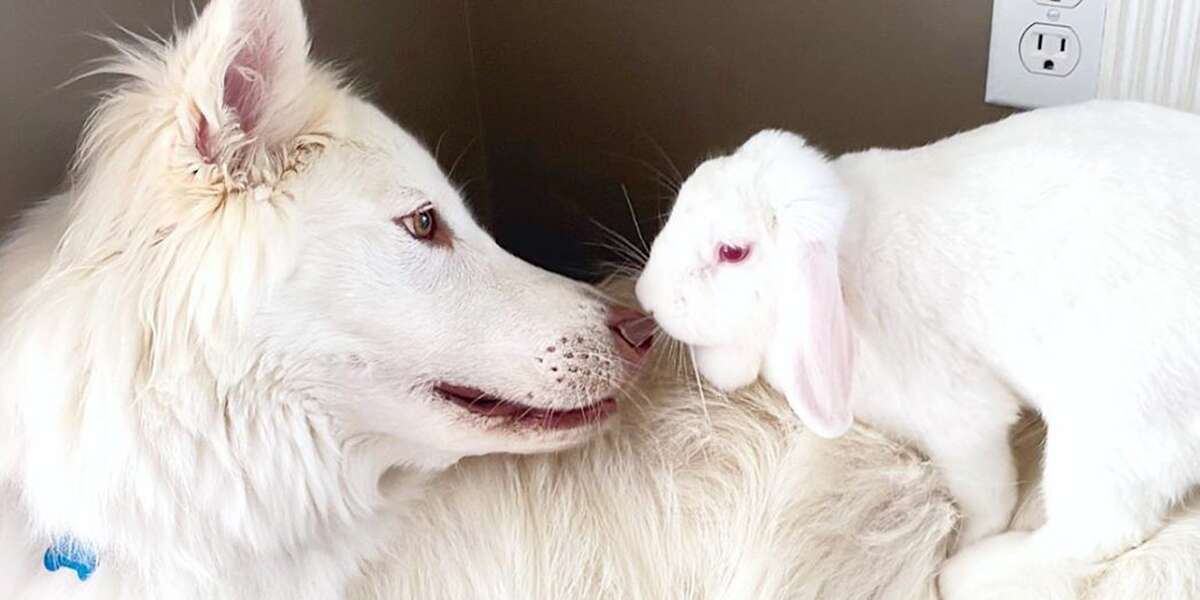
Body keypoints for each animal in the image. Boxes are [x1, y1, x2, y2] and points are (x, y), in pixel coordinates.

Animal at [635, 99, 1200, 598]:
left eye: (733, 252)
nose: (646, 296)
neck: (845, 259)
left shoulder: (961, 422)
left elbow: (988, 497)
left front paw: (959, 543)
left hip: (1113, 426)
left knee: (1098, 532)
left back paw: (965, 572)